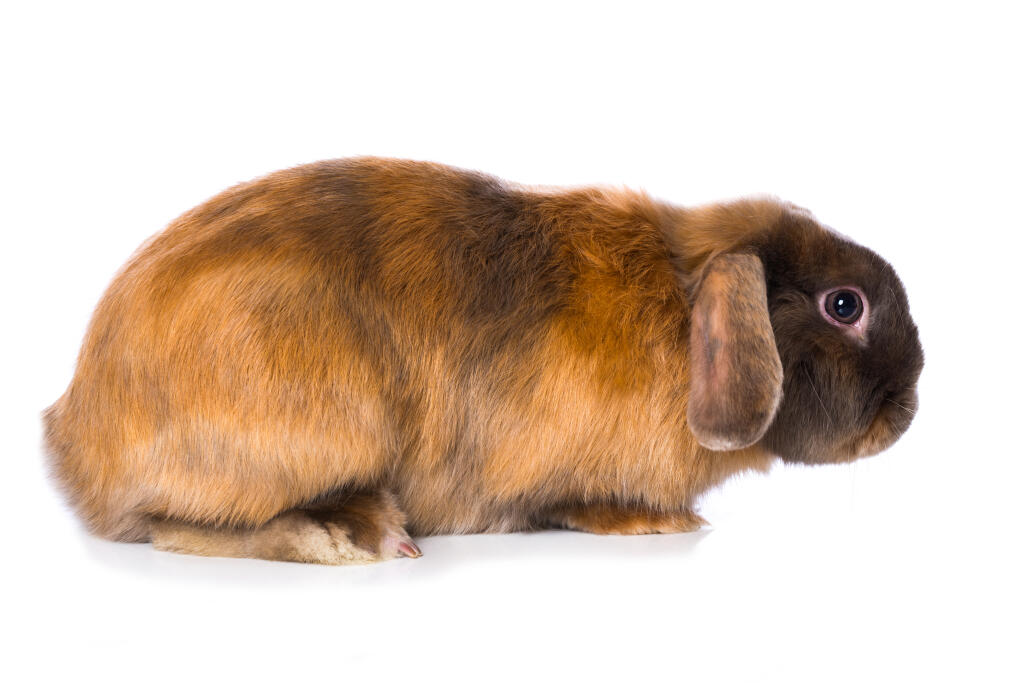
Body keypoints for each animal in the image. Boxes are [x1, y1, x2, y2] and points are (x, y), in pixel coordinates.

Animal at [43, 157, 924, 565]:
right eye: (843, 305)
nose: (907, 406)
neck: (678, 314)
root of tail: (75, 440)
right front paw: (656, 521)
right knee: (178, 524)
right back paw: (349, 535)